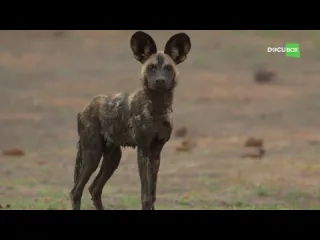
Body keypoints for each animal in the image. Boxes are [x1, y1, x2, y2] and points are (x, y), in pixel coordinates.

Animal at [70, 30, 191, 210]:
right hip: (92, 155)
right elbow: (145, 196)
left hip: (113, 157)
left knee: (94, 189)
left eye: (168, 68)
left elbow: (152, 195)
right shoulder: (143, 150)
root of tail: (85, 108)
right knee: (76, 191)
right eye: (151, 67)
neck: (157, 107)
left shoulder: (156, 153)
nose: (160, 80)